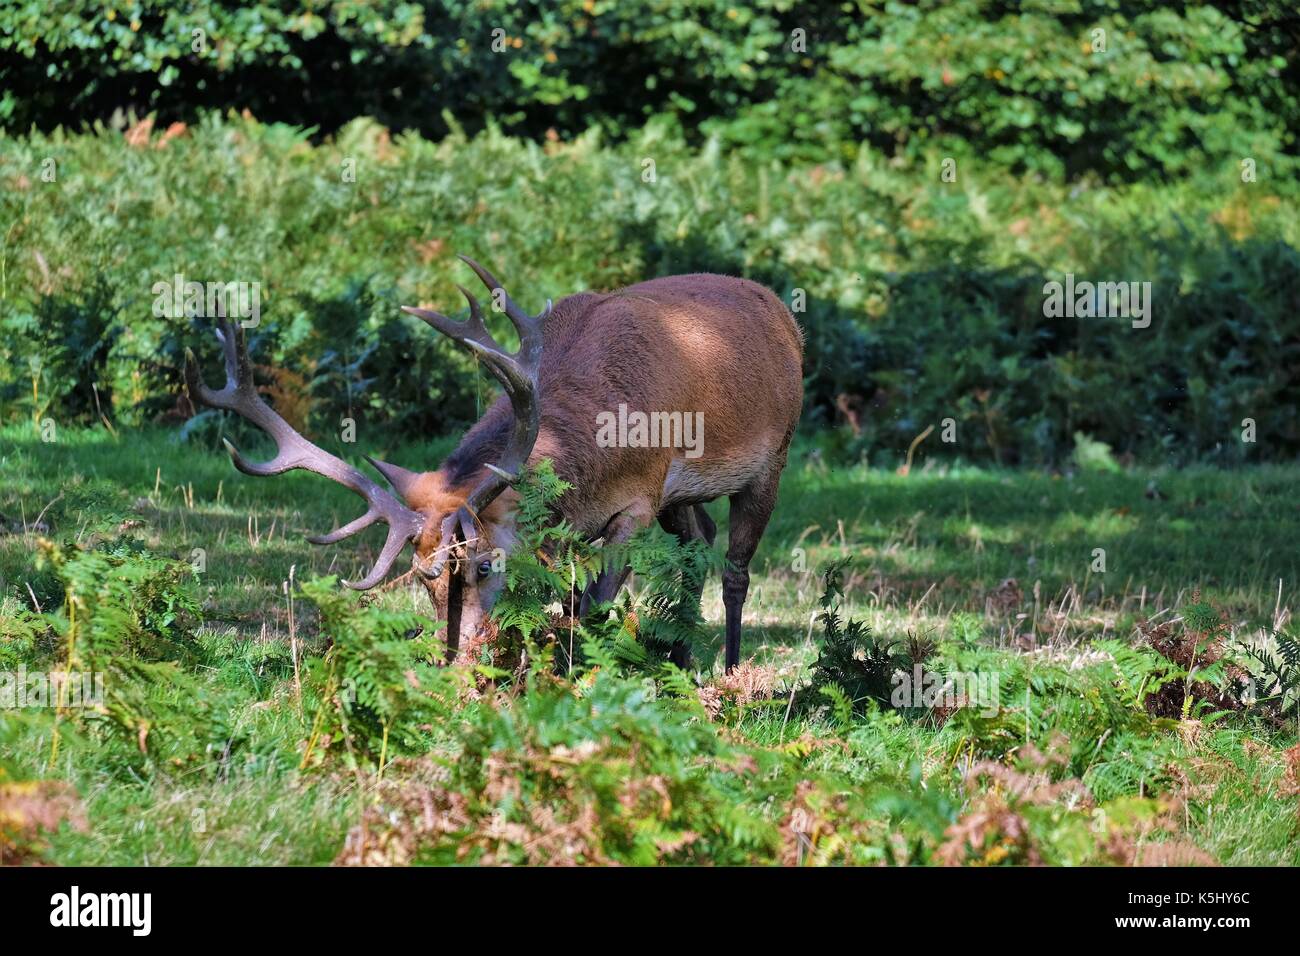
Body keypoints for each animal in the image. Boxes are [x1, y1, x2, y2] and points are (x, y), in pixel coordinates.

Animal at [185, 256, 803, 670]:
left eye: (484, 566)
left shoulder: (641, 496)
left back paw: (728, 669)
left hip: (771, 458)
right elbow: (568, 598)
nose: (455, 657)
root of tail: (779, 308)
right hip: (686, 492)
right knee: (698, 542)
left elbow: (594, 603)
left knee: (734, 568)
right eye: (422, 577)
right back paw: (678, 658)